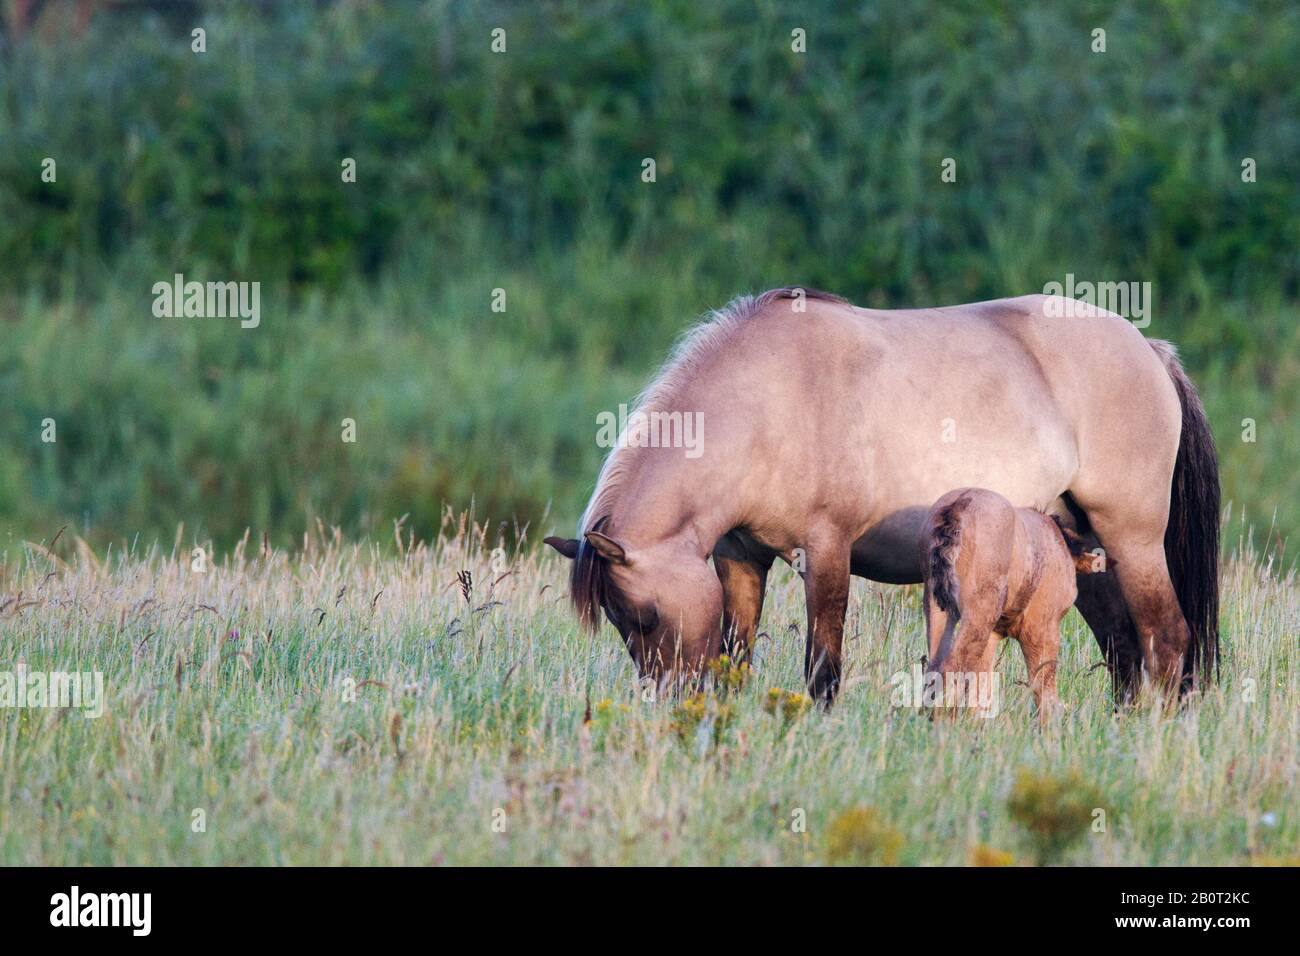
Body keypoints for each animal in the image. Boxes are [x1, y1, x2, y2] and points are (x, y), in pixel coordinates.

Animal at [920, 487, 1119, 722]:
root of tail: (956, 508)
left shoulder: (993, 634)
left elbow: (981, 687)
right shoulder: (1041, 629)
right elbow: (1044, 689)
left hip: (939, 610)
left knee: (935, 667)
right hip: (979, 613)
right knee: (952, 666)